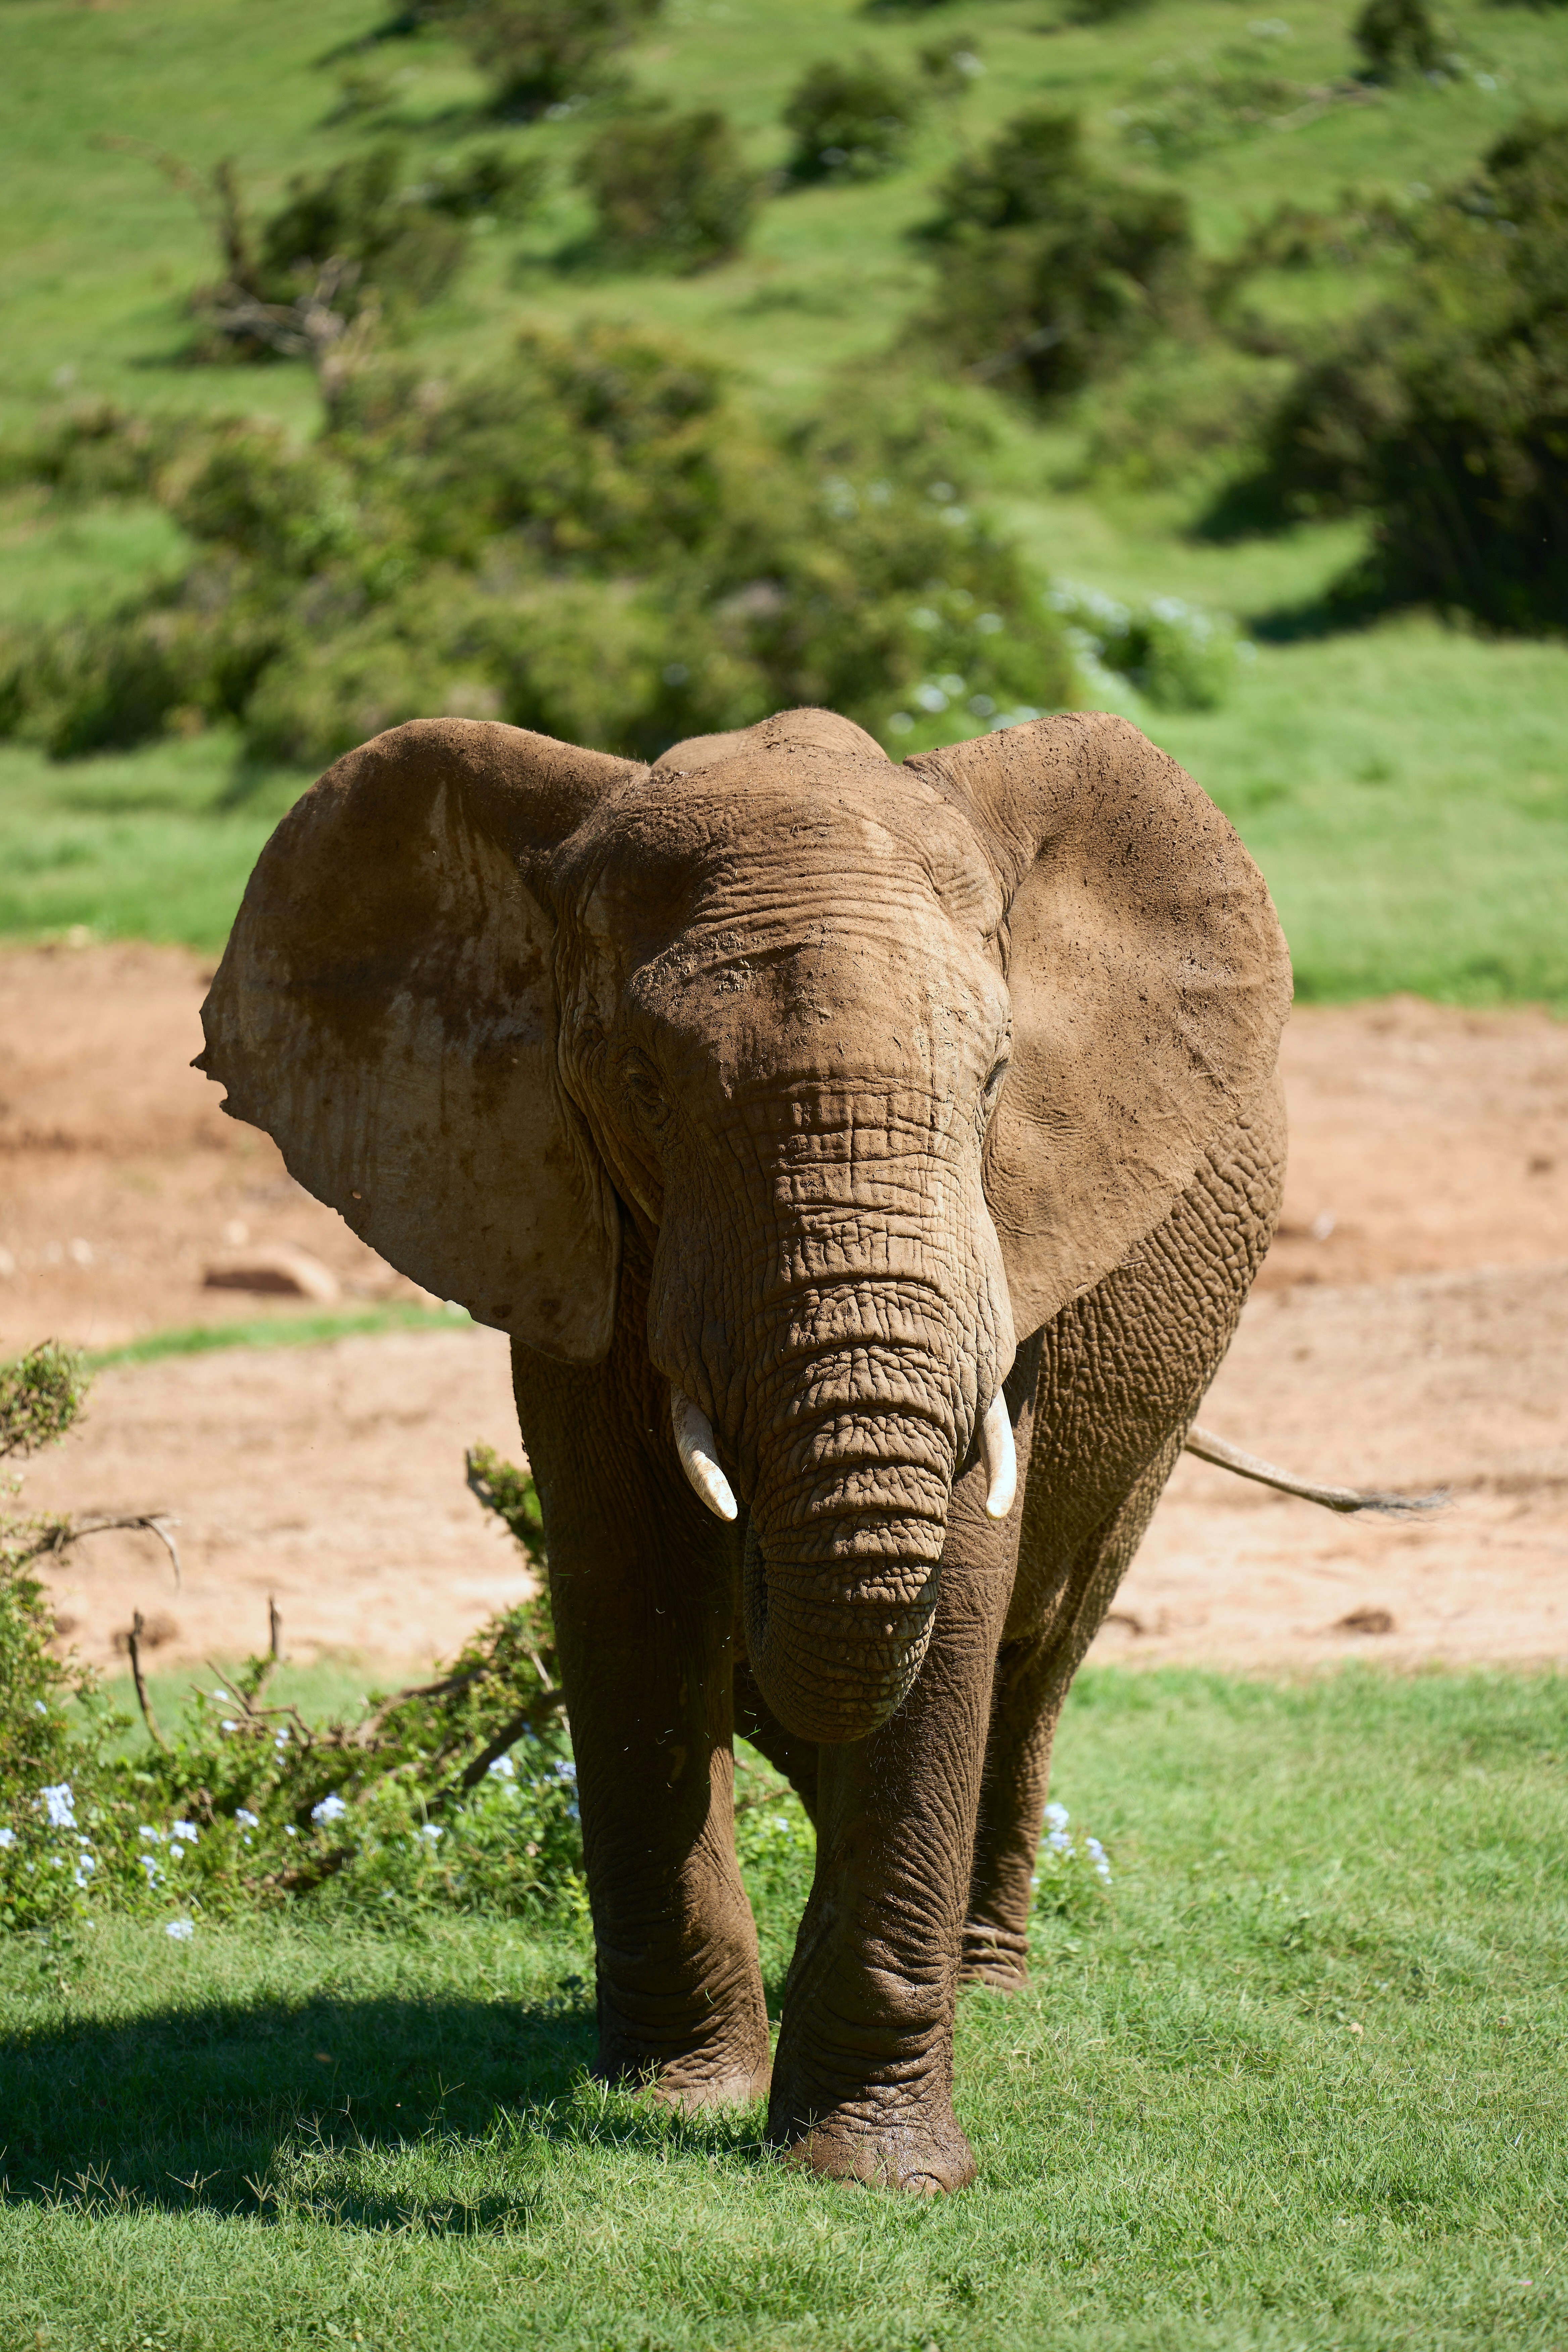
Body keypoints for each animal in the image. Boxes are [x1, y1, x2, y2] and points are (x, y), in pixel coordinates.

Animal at [198, 703, 1291, 2193]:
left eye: (995, 1080)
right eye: (644, 1088)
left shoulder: (1008, 1244)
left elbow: (958, 1586)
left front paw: (870, 2168)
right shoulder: (557, 1208)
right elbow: (633, 1578)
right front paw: (682, 2100)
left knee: (1041, 1649)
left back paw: (985, 1978)